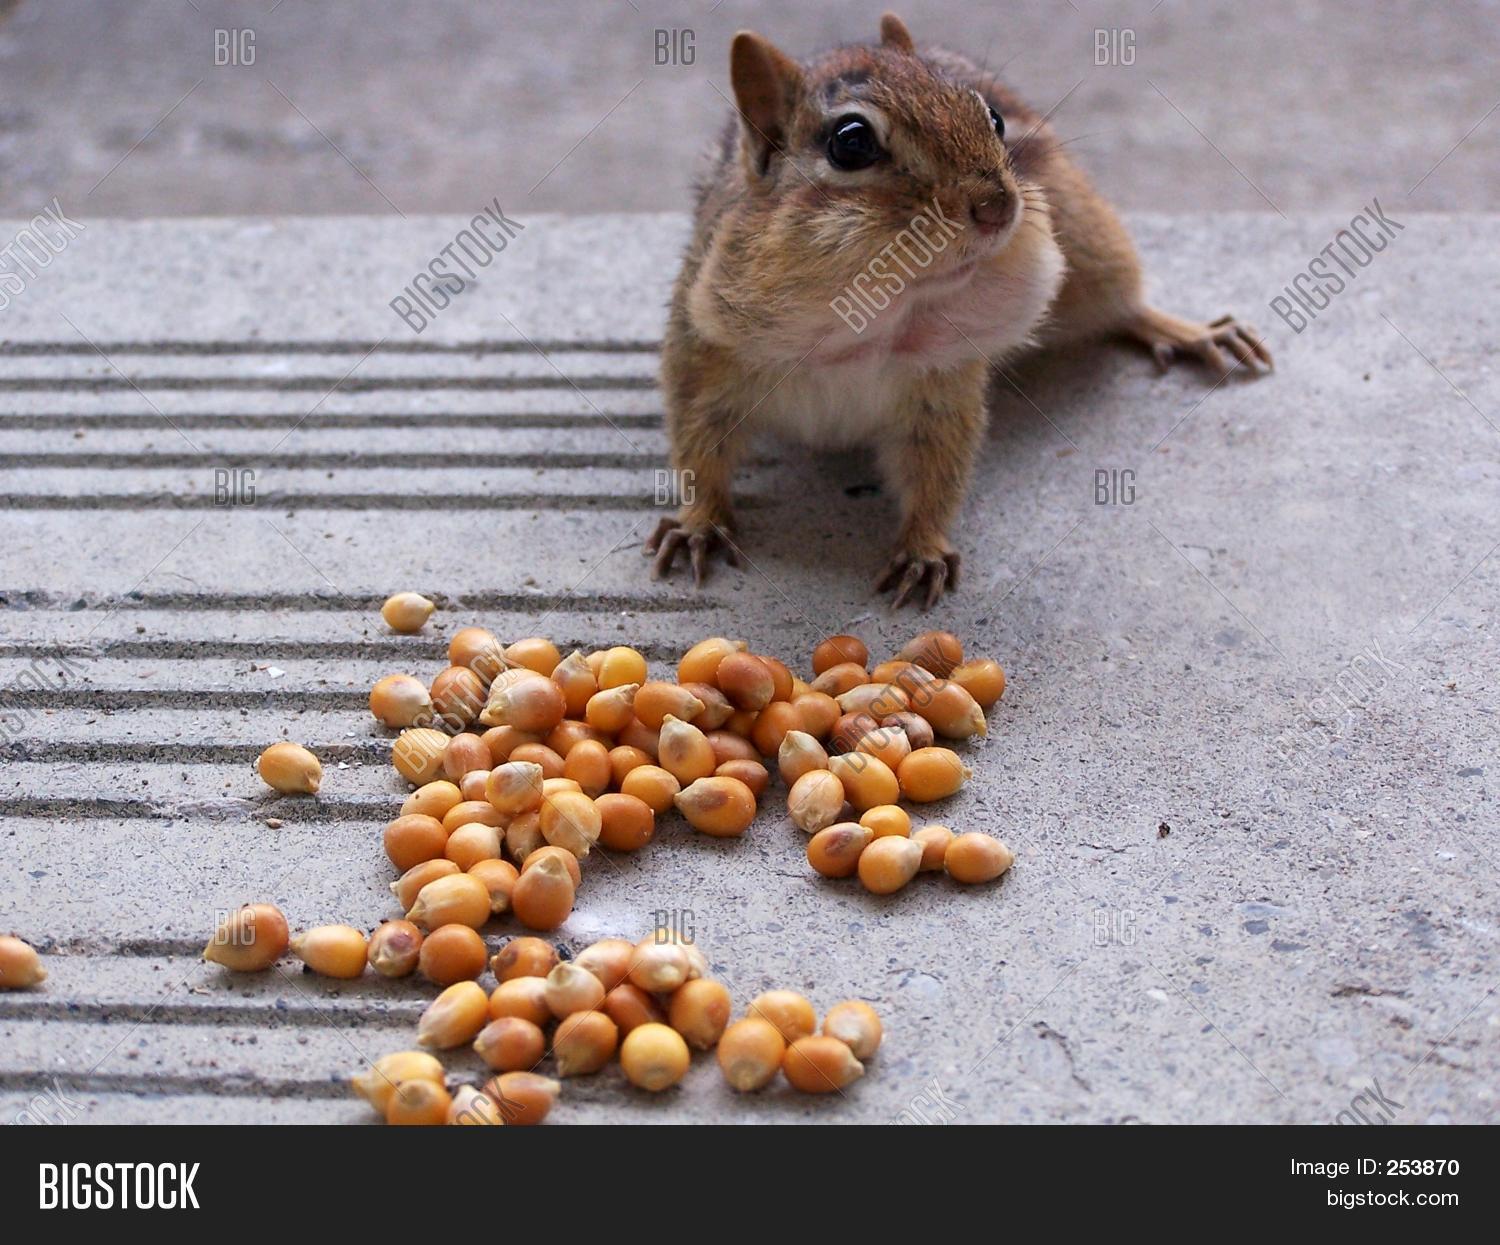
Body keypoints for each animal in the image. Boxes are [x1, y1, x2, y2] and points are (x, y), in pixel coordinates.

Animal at [648, 13, 1271, 608]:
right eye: (851, 143)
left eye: (992, 118)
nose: (998, 205)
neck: (864, 328)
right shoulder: (703, 355)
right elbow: (698, 446)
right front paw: (698, 524)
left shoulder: (941, 391)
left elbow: (938, 474)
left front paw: (923, 550)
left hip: (1088, 241)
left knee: (1122, 305)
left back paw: (1189, 331)